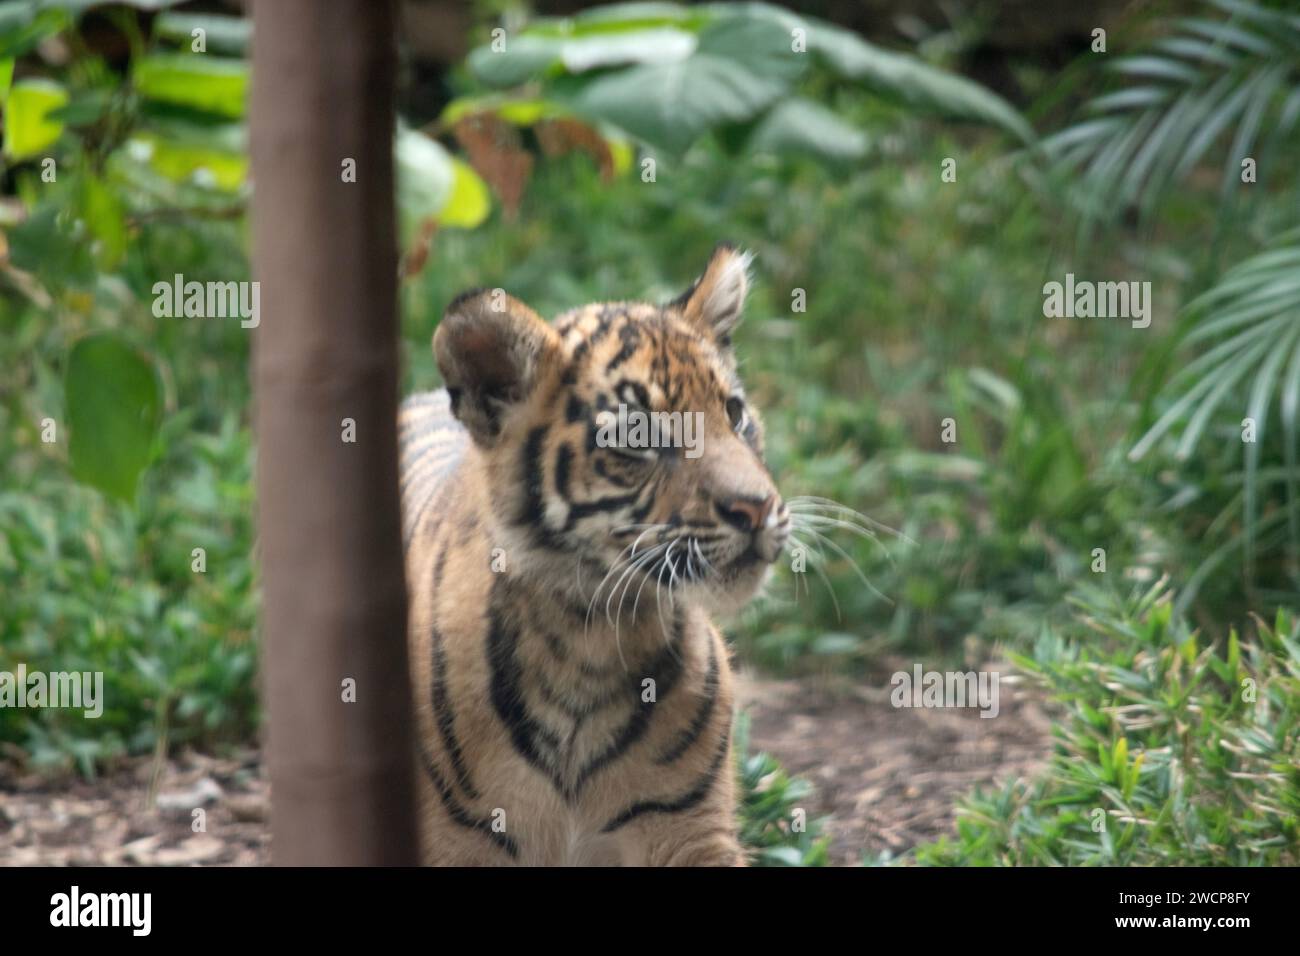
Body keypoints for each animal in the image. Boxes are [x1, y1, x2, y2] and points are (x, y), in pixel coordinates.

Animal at [399, 244, 790, 866]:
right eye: (638, 435)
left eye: (733, 413)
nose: (757, 508)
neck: (590, 640)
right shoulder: (458, 845)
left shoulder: (688, 830)